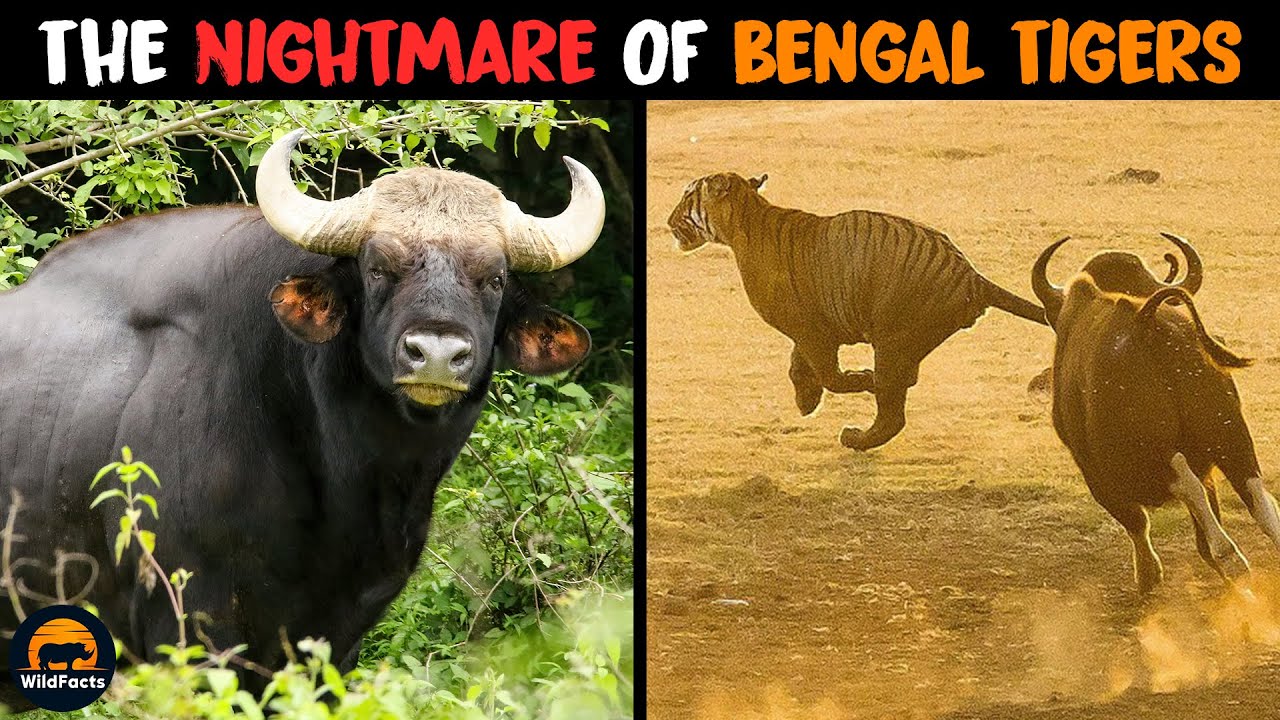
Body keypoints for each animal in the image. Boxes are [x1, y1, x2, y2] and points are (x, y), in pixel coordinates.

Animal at [666, 171, 1051, 451]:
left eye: (687, 197)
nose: (668, 220)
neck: (746, 218)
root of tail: (971, 276)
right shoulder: (806, 330)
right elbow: (798, 366)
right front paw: (806, 401)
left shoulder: (812, 332)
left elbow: (832, 377)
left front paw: (856, 380)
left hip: (893, 340)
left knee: (893, 412)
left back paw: (858, 436)